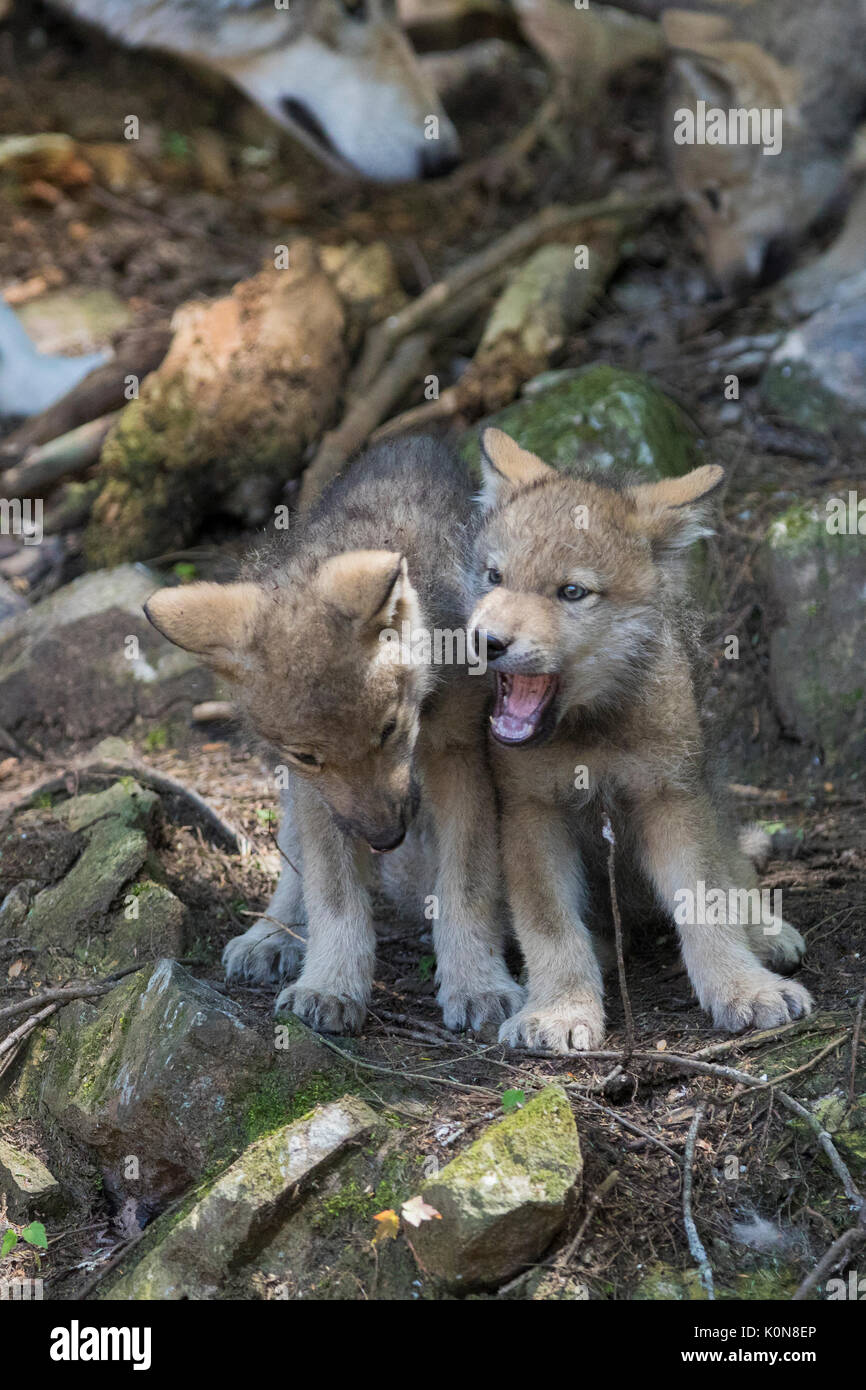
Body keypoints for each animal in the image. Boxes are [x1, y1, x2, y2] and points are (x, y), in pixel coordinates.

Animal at [144, 437, 522, 1034]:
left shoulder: (459, 754)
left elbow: (467, 886)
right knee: (294, 856)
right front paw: (330, 984)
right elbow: (333, 893)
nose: (386, 839)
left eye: (389, 730)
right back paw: (274, 936)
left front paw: (478, 985)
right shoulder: (317, 790)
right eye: (308, 754)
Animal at [465, 427, 812, 1053]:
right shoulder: (530, 811)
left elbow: (708, 900)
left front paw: (744, 989)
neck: (591, 733)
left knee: (734, 864)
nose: (486, 640)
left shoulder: (671, 798)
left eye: (571, 592)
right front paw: (560, 1007)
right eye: (494, 577)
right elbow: (549, 923)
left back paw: (764, 932)